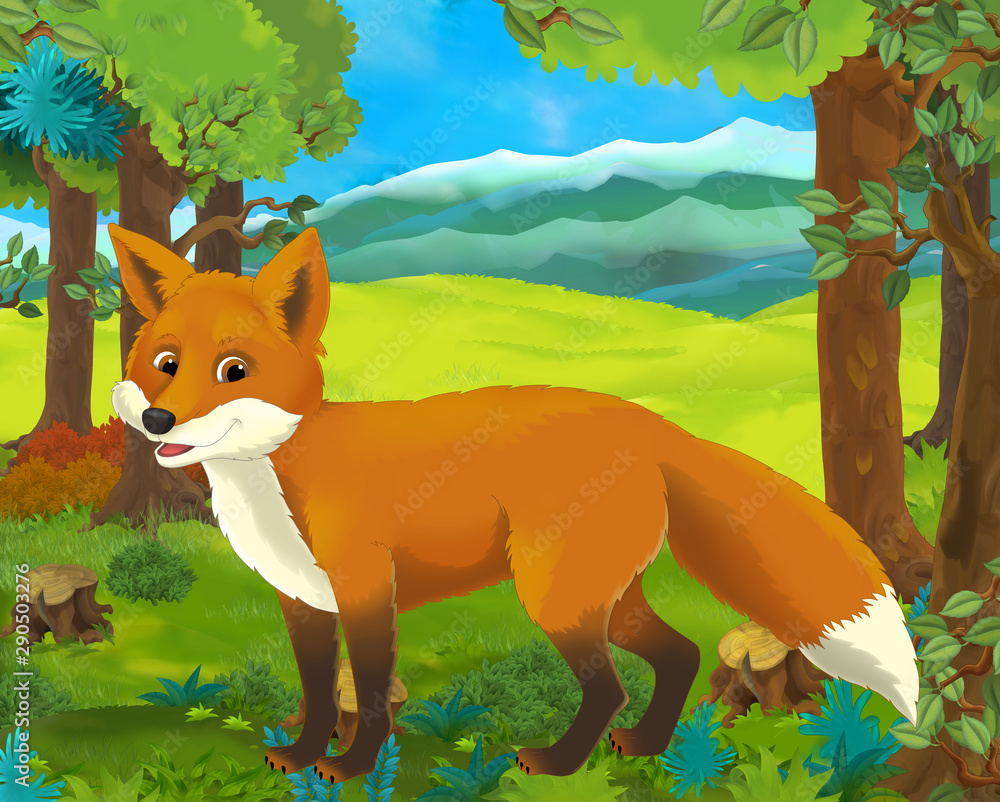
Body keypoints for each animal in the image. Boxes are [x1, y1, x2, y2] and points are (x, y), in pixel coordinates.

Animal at [107, 223, 918, 783]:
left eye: (233, 370)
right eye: (165, 363)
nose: (159, 421)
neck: (277, 476)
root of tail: (644, 422)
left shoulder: (367, 589)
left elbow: (367, 693)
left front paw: (351, 768)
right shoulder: (303, 600)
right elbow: (315, 690)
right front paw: (302, 752)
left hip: (554, 596)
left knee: (611, 687)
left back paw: (559, 763)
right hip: (603, 599)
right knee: (681, 655)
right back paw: (647, 747)